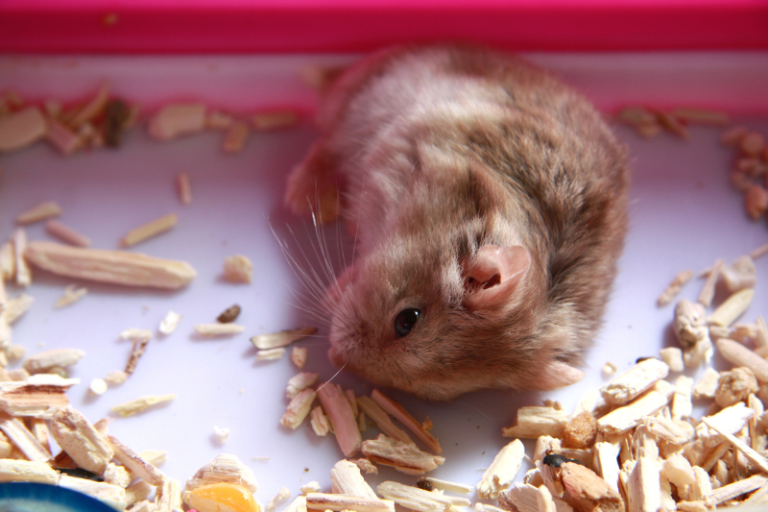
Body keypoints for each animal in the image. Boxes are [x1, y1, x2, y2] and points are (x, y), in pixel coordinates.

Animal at [285, 45, 630, 401]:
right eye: (406, 320)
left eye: (433, 390)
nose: (332, 356)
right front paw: (330, 297)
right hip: (354, 107)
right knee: (325, 145)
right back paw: (302, 198)